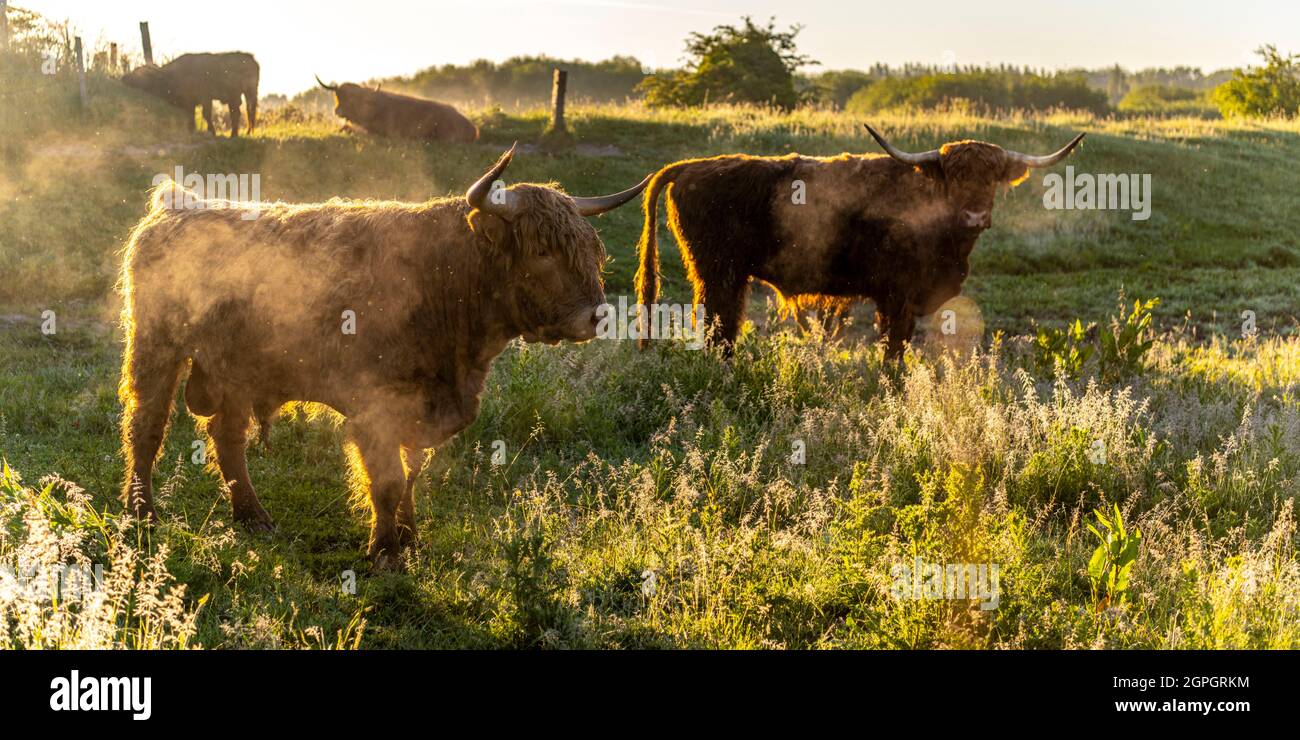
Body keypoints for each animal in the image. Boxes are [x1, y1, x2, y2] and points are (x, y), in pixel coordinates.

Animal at [118, 146, 649, 568]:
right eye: (541, 251)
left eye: (593, 250)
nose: (597, 316)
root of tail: (174, 207)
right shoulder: (376, 407)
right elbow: (388, 481)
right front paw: (386, 552)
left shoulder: (420, 405)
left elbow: (411, 474)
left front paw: (410, 539)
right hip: (155, 348)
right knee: (146, 428)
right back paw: (142, 513)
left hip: (233, 371)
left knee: (227, 439)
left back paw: (253, 518)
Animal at [122, 52, 259, 137]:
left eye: (141, 74)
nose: (124, 78)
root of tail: (250, 58)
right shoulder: (190, 102)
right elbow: (190, 115)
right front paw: (191, 130)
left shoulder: (205, 98)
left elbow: (205, 114)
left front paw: (211, 132)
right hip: (236, 97)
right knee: (238, 113)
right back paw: (235, 134)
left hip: (247, 93)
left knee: (245, 113)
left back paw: (238, 134)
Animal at [634, 125, 1085, 358]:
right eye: (955, 175)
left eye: (991, 178)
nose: (974, 216)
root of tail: (691, 167)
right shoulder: (896, 296)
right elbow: (893, 349)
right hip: (718, 274)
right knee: (719, 328)